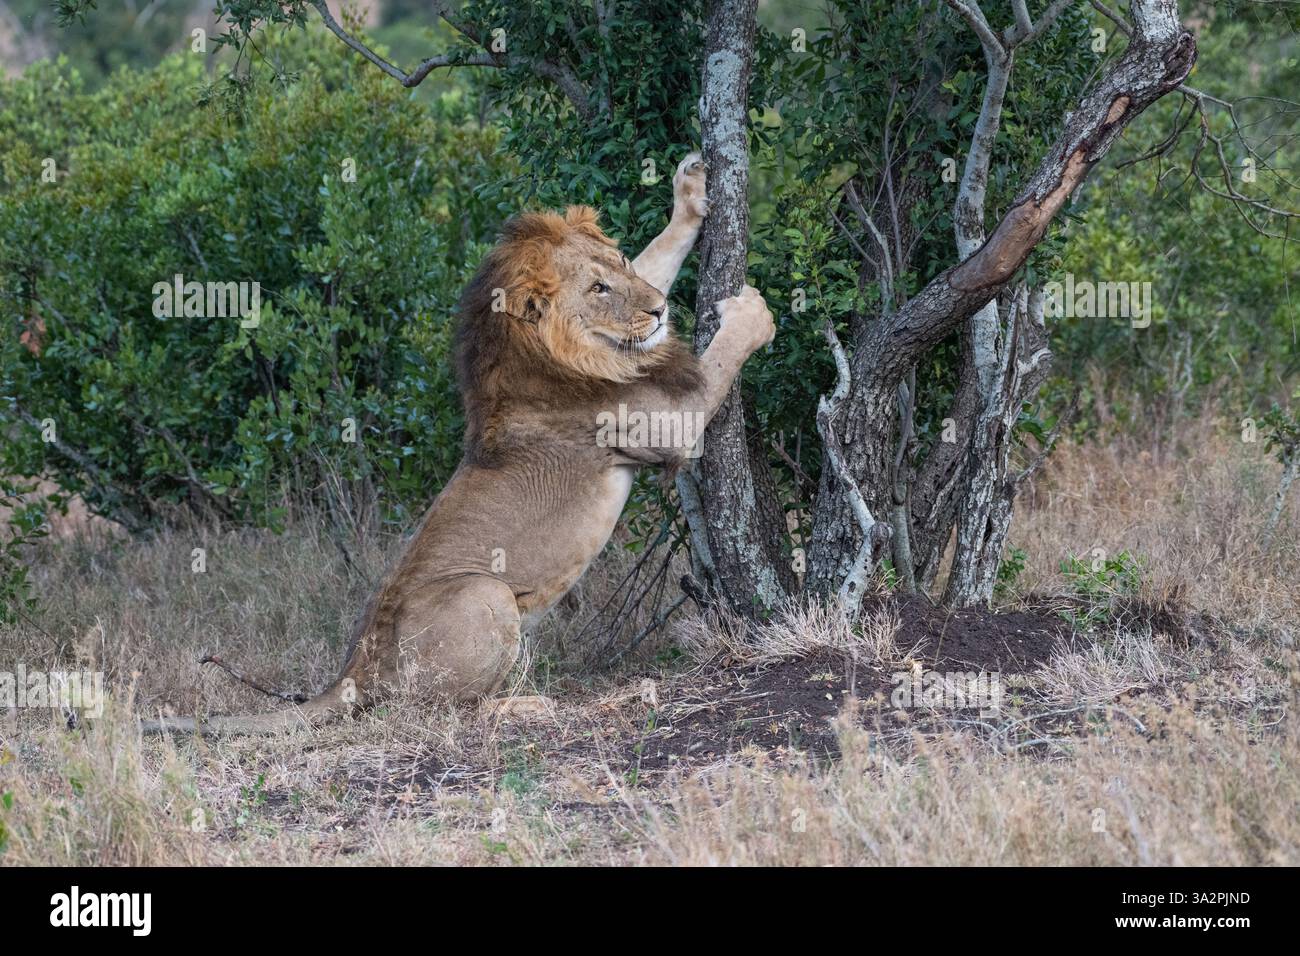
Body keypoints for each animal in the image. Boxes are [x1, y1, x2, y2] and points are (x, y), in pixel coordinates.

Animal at [145, 154, 775, 733]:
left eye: (620, 264)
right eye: (598, 289)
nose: (659, 309)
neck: (565, 353)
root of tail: (353, 672)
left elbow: (660, 255)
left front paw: (689, 192)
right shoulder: (666, 423)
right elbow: (720, 359)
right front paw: (752, 311)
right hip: (485, 593)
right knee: (441, 710)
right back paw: (530, 705)